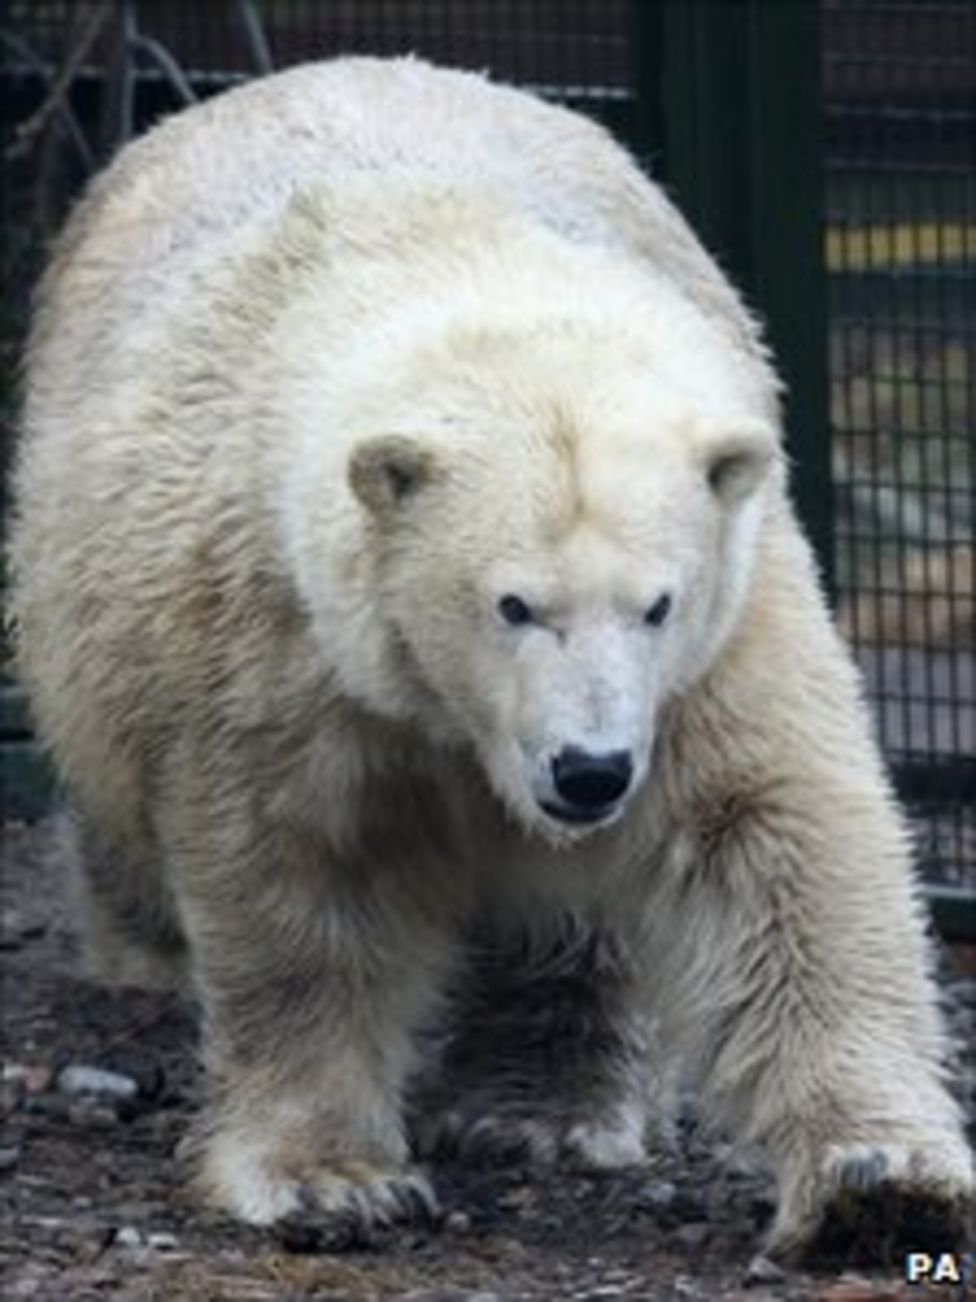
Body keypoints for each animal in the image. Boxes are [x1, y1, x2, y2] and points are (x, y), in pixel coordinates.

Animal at [9, 56, 971, 1258]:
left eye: (656, 604)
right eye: (511, 604)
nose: (590, 770)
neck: (472, 279)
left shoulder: (721, 636)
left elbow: (772, 836)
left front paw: (877, 1179)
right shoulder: (278, 642)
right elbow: (297, 885)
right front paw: (330, 1180)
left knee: (573, 922)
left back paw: (537, 1108)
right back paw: (142, 955)